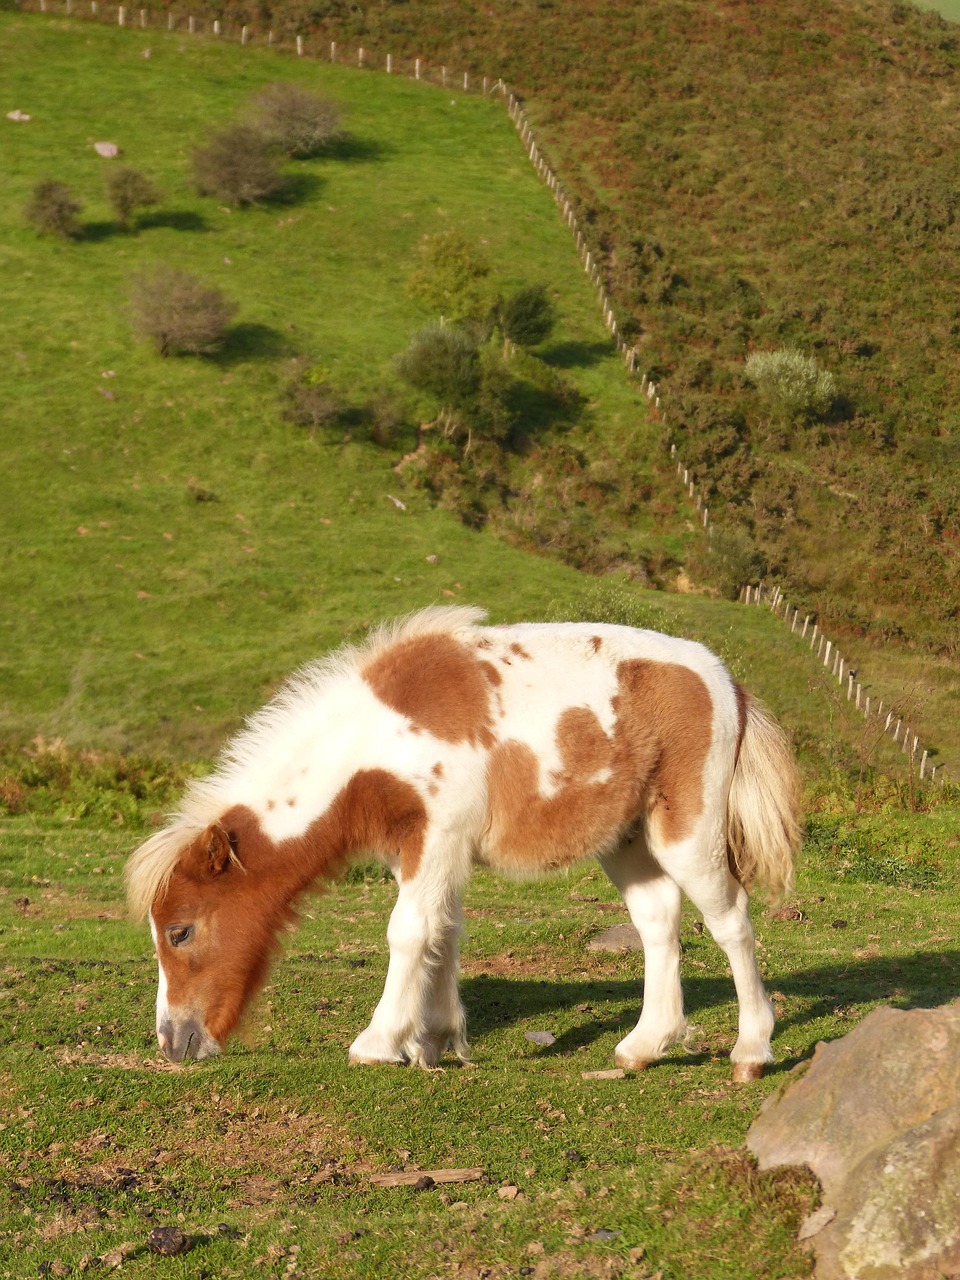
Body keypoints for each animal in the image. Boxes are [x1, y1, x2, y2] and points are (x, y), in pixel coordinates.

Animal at [127, 605, 801, 1081]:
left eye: (180, 931)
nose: (173, 1042)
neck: (380, 736)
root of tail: (728, 683)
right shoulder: (428, 850)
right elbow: (443, 932)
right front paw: (433, 1041)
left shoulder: (436, 835)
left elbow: (409, 932)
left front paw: (379, 1043)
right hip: (626, 838)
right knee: (659, 922)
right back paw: (643, 1046)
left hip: (688, 830)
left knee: (731, 920)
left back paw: (751, 1051)